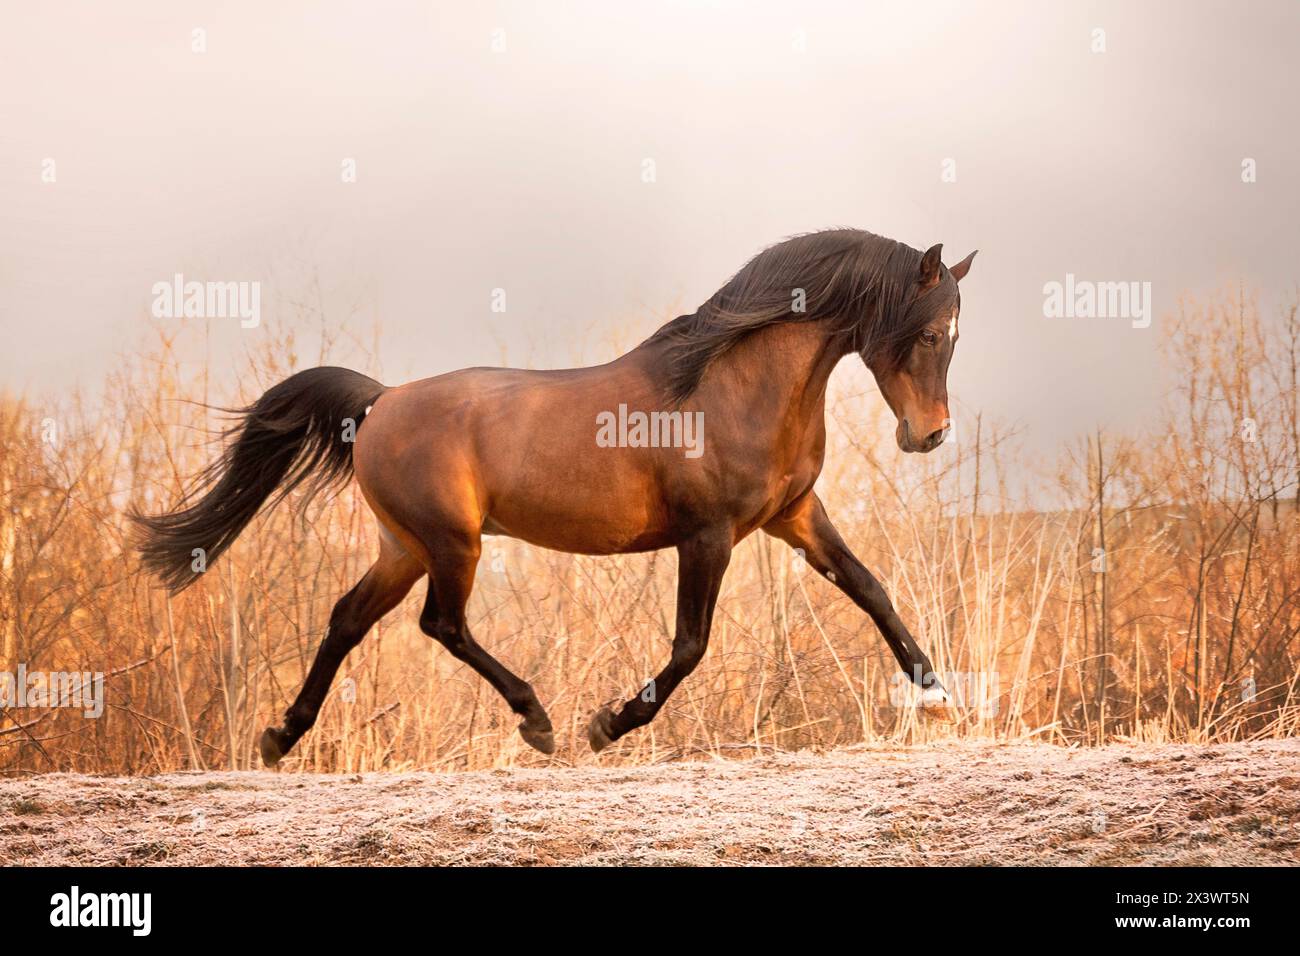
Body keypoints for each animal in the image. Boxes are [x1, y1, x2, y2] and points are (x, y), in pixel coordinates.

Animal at [133, 228, 977, 765]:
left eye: (954, 335)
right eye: (932, 332)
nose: (931, 434)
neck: (733, 386)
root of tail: (381, 401)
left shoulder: (795, 517)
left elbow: (871, 589)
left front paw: (939, 696)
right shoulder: (707, 535)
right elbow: (690, 645)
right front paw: (609, 724)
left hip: (404, 546)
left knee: (346, 618)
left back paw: (281, 737)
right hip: (453, 544)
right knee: (442, 624)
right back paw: (536, 720)